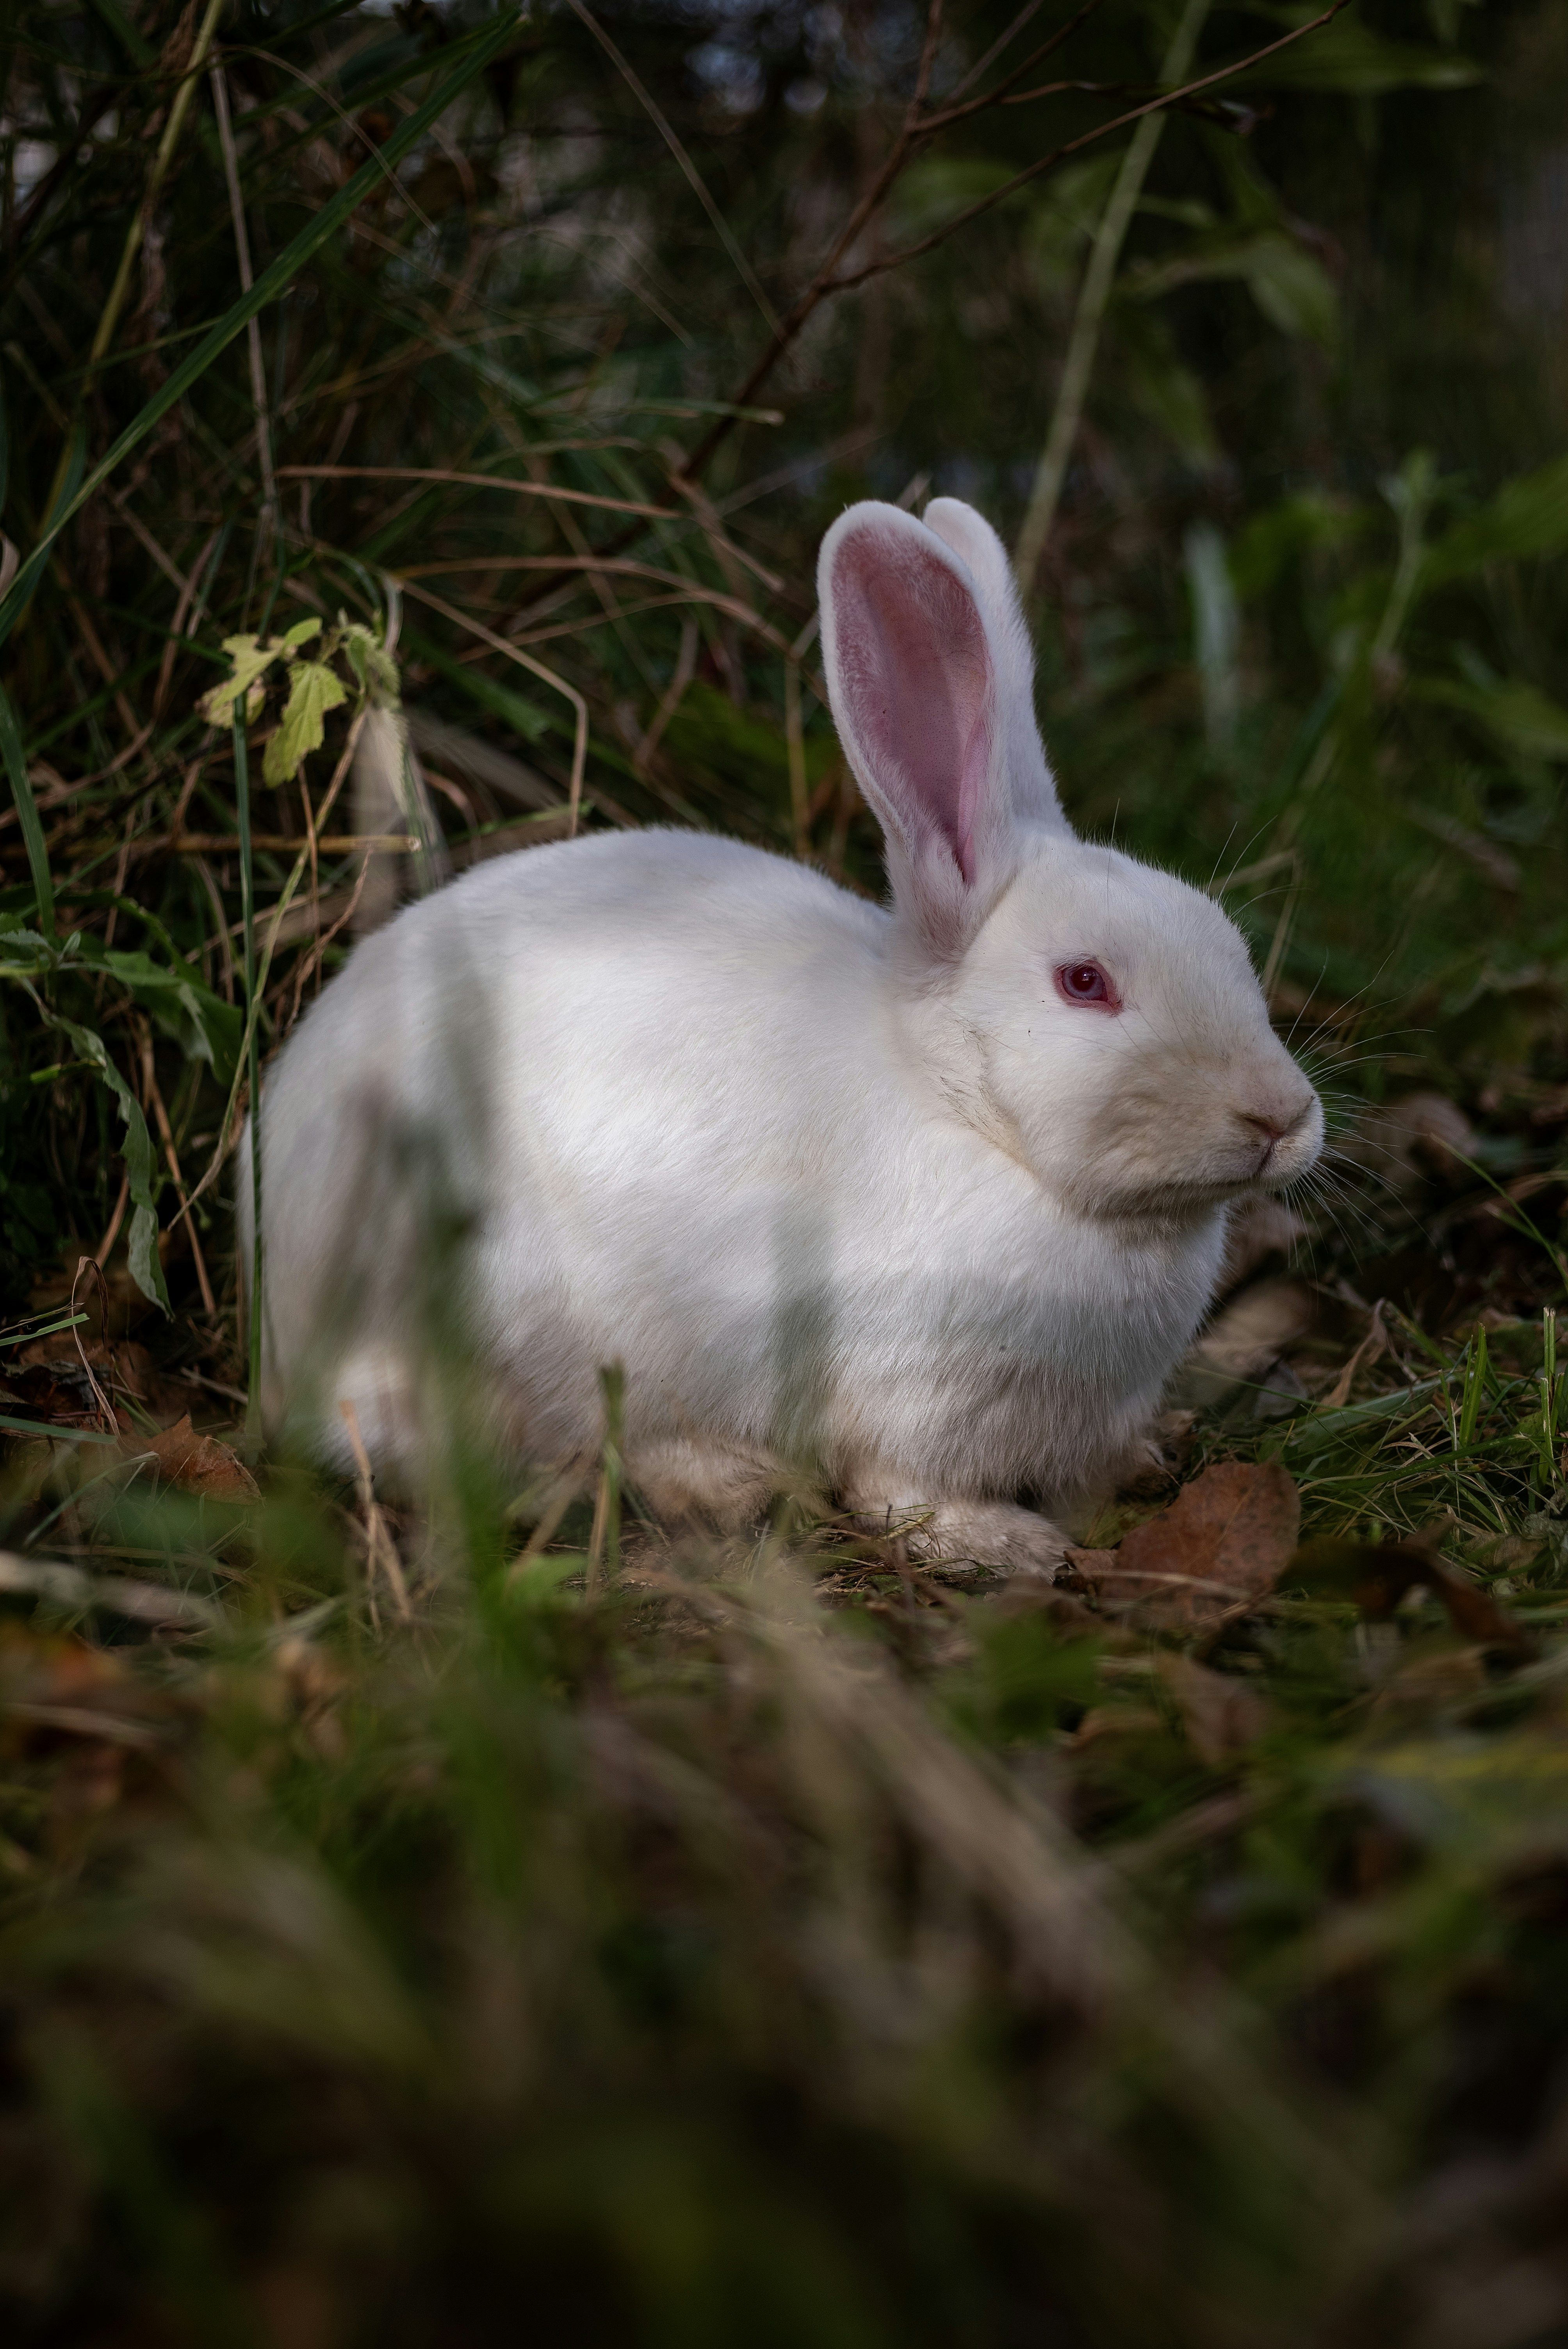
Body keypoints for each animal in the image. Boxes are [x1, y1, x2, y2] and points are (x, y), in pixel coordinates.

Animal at [241, 496, 1322, 1575]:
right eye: (1084, 983)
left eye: (1227, 943)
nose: (1281, 1117)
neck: (962, 1113)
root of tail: (281, 1308)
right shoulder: (906, 1395)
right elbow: (901, 1493)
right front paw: (1011, 1545)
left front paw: (1143, 1458)